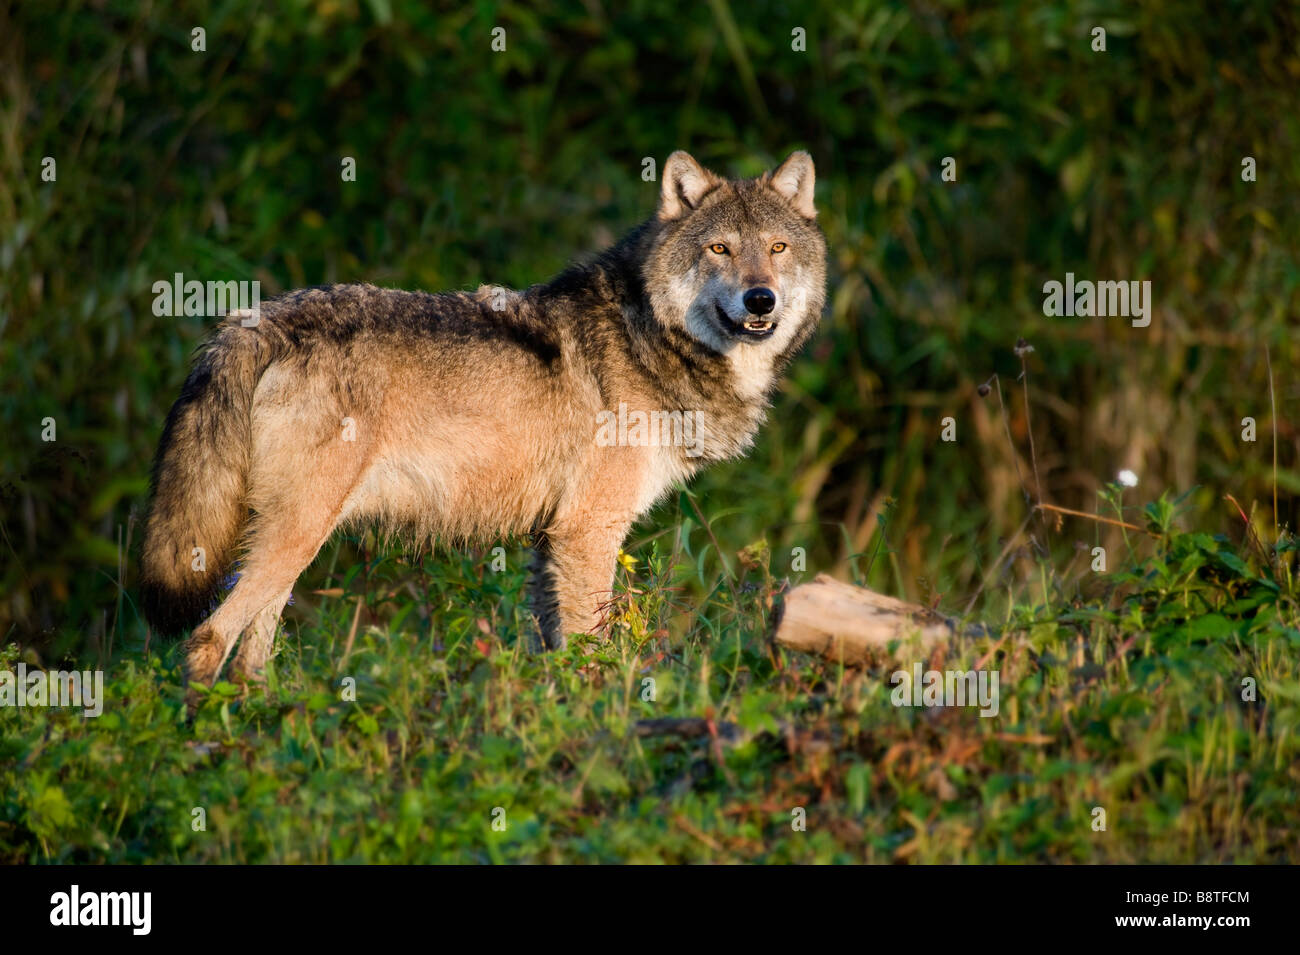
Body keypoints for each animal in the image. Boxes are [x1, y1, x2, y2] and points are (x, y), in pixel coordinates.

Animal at [138, 150, 827, 690]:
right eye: (719, 249)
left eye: (777, 249)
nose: (760, 299)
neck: (652, 337)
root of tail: (257, 320)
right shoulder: (588, 531)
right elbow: (592, 653)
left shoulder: (550, 539)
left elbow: (554, 651)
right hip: (297, 534)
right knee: (207, 640)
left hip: (292, 542)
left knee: (250, 655)